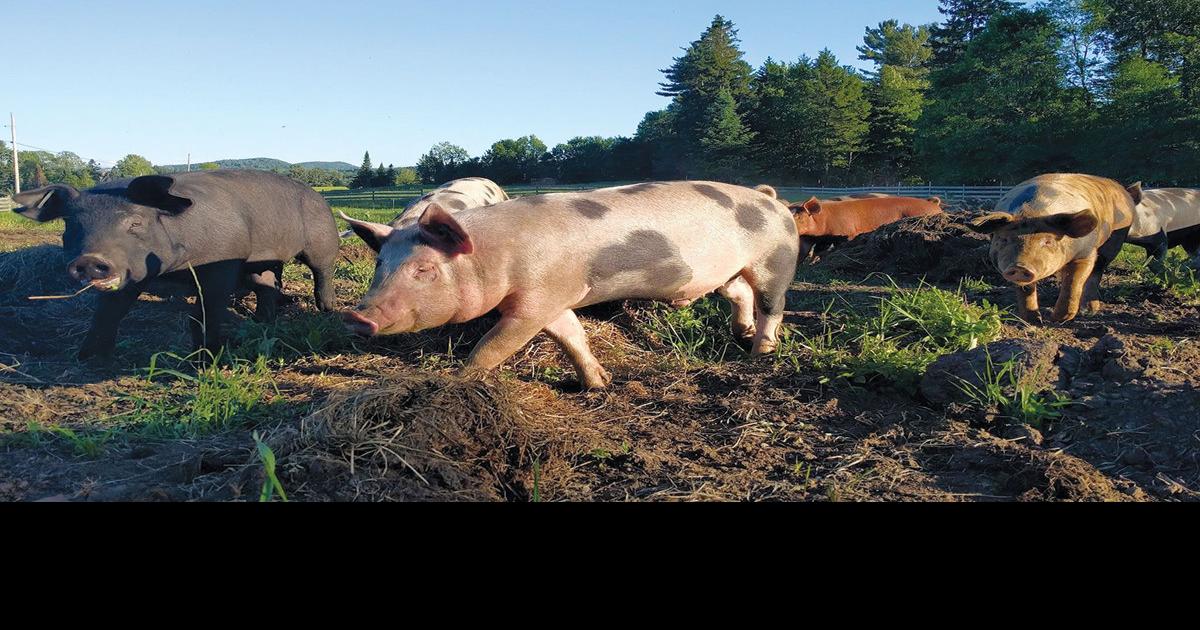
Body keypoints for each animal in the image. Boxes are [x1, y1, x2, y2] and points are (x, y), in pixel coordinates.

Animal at [12, 170, 339, 360]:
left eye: (135, 222)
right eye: (71, 224)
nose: (91, 259)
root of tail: (317, 194)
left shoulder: (221, 264)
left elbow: (206, 310)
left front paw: (207, 359)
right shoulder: (132, 275)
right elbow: (108, 312)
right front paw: (88, 358)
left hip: (322, 241)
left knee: (322, 273)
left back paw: (328, 310)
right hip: (262, 260)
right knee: (267, 285)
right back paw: (262, 324)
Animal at [340, 181, 799, 390]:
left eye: (423, 270)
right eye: (380, 264)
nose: (355, 316)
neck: (497, 255)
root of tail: (772, 199)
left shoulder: (533, 301)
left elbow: (493, 346)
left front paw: (459, 381)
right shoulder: (554, 299)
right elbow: (572, 335)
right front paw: (599, 384)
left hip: (776, 260)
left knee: (771, 305)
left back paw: (759, 354)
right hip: (726, 272)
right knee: (739, 294)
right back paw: (741, 334)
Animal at [968, 174, 1138, 324]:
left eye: (1048, 241)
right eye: (1003, 239)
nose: (1019, 266)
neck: (1030, 212)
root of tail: (1121, 189)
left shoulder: (1085, 253)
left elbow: (1073, 283)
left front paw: (1057, 320)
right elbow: (1026, 291)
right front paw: (1032, 321)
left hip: (1115, 240)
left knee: (1097, 270)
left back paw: (1089, 311)